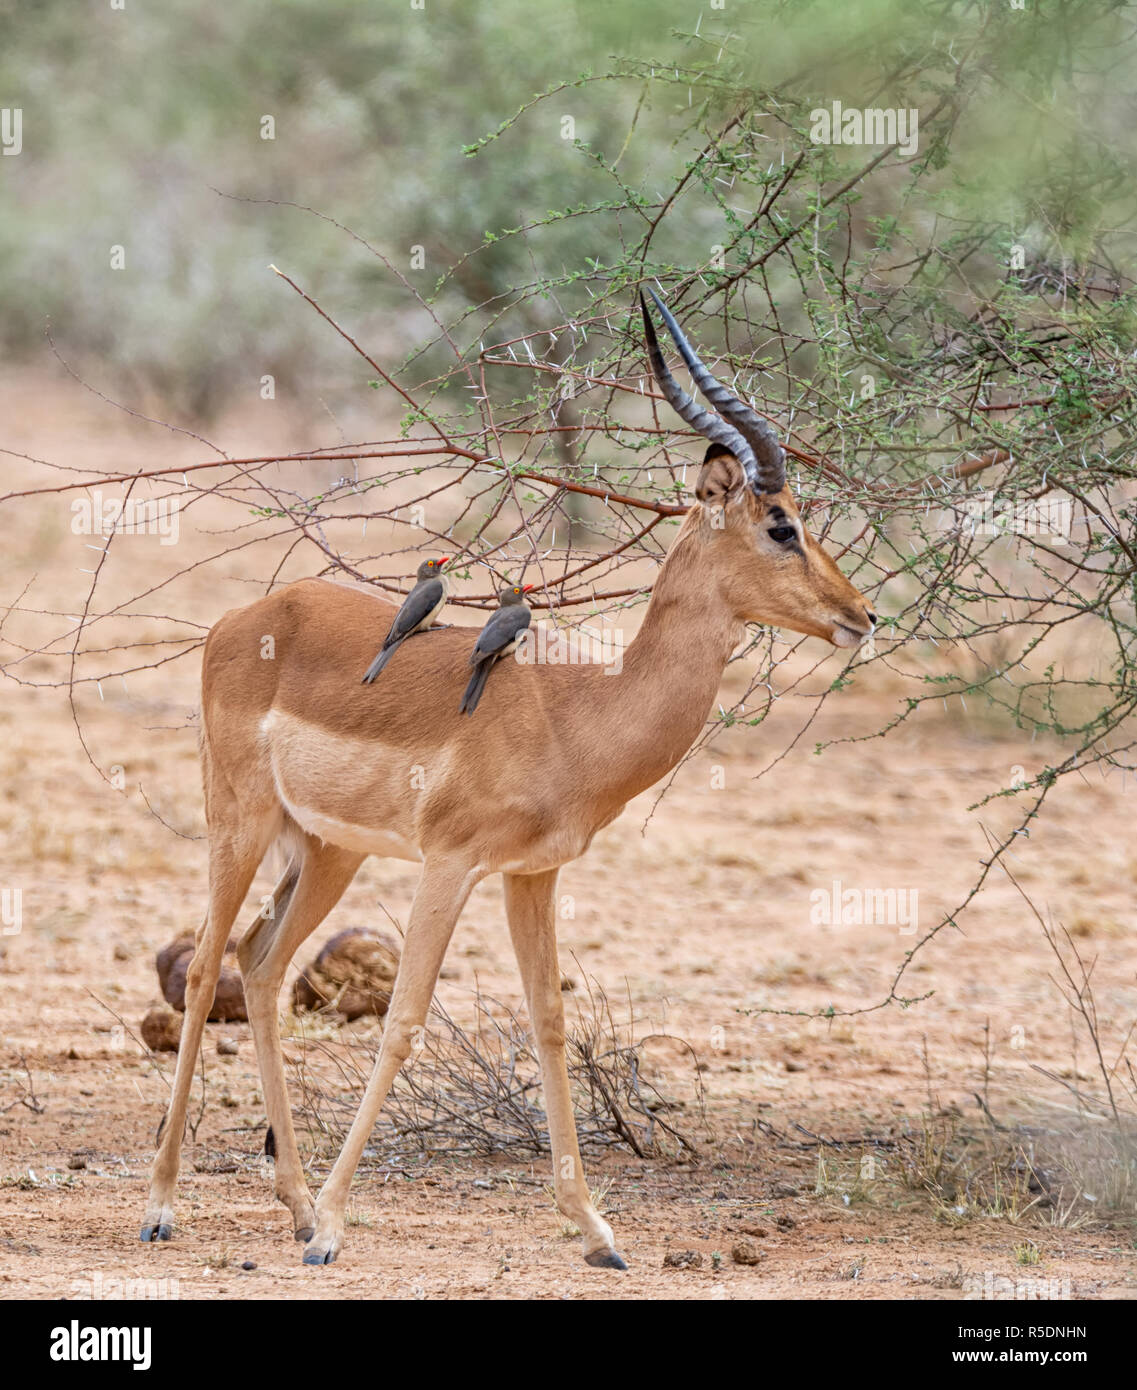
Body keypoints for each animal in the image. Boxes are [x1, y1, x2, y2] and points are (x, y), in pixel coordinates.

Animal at [140, 291, 876, 1268]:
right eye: (779, 523)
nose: (861, 615)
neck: (577, 715)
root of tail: (247, 616)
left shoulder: (533, 875)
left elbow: (550, 1024)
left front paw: (597, 1232)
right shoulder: (452, 865)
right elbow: (404, 1020)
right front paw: (334, 1230)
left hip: (329, 851)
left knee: (260, 964)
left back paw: (290, 1204)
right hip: (241, 823)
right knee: (203, 970)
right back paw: (166, 1206)